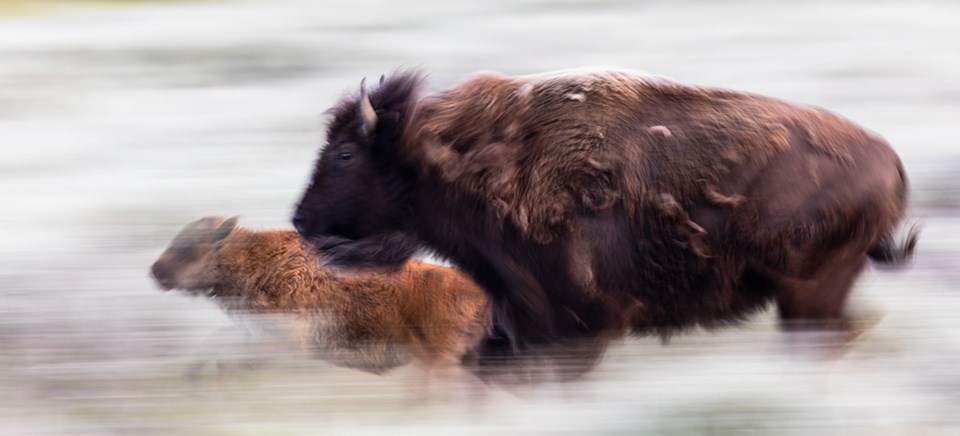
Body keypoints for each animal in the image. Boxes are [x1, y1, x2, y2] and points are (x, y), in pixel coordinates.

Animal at [293, 69, 918, 367]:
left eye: (345, 153)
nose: (300, 220)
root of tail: (889, 159)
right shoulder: (515, 321)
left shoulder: (568, 326)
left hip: (810, 295)